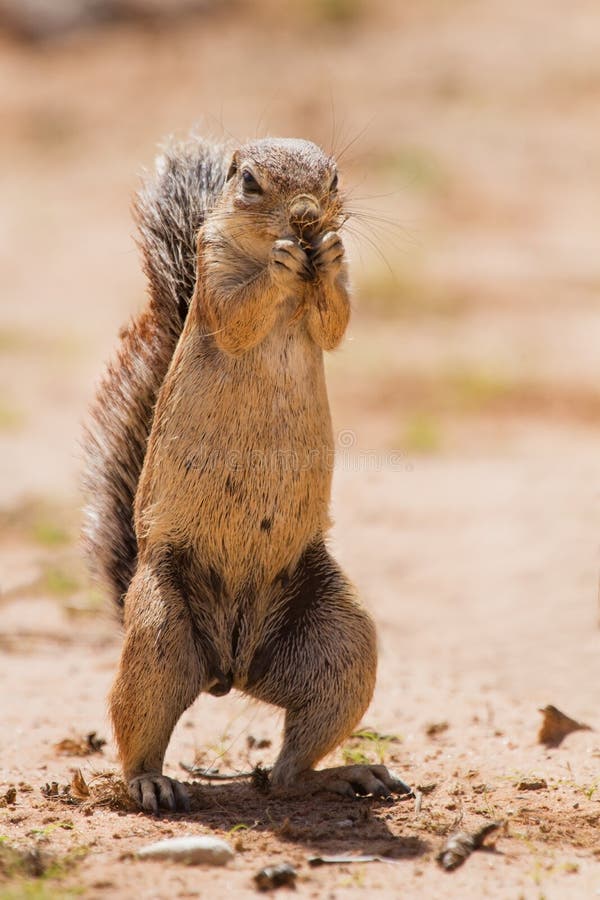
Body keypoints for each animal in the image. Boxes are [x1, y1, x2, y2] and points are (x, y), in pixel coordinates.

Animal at [82, 134, 411, 814]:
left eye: (334, 178)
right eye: (251, 183)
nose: (307, 217)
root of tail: (230, 668)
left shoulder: (330, 304)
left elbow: (336, 321)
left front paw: (329, 252)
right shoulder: (215, 280)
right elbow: (239, 312)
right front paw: (282, 263)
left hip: (342, 647)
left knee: (288, 771)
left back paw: (344, 774)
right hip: (158, 631)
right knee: (139, 727)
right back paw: (152, 782)